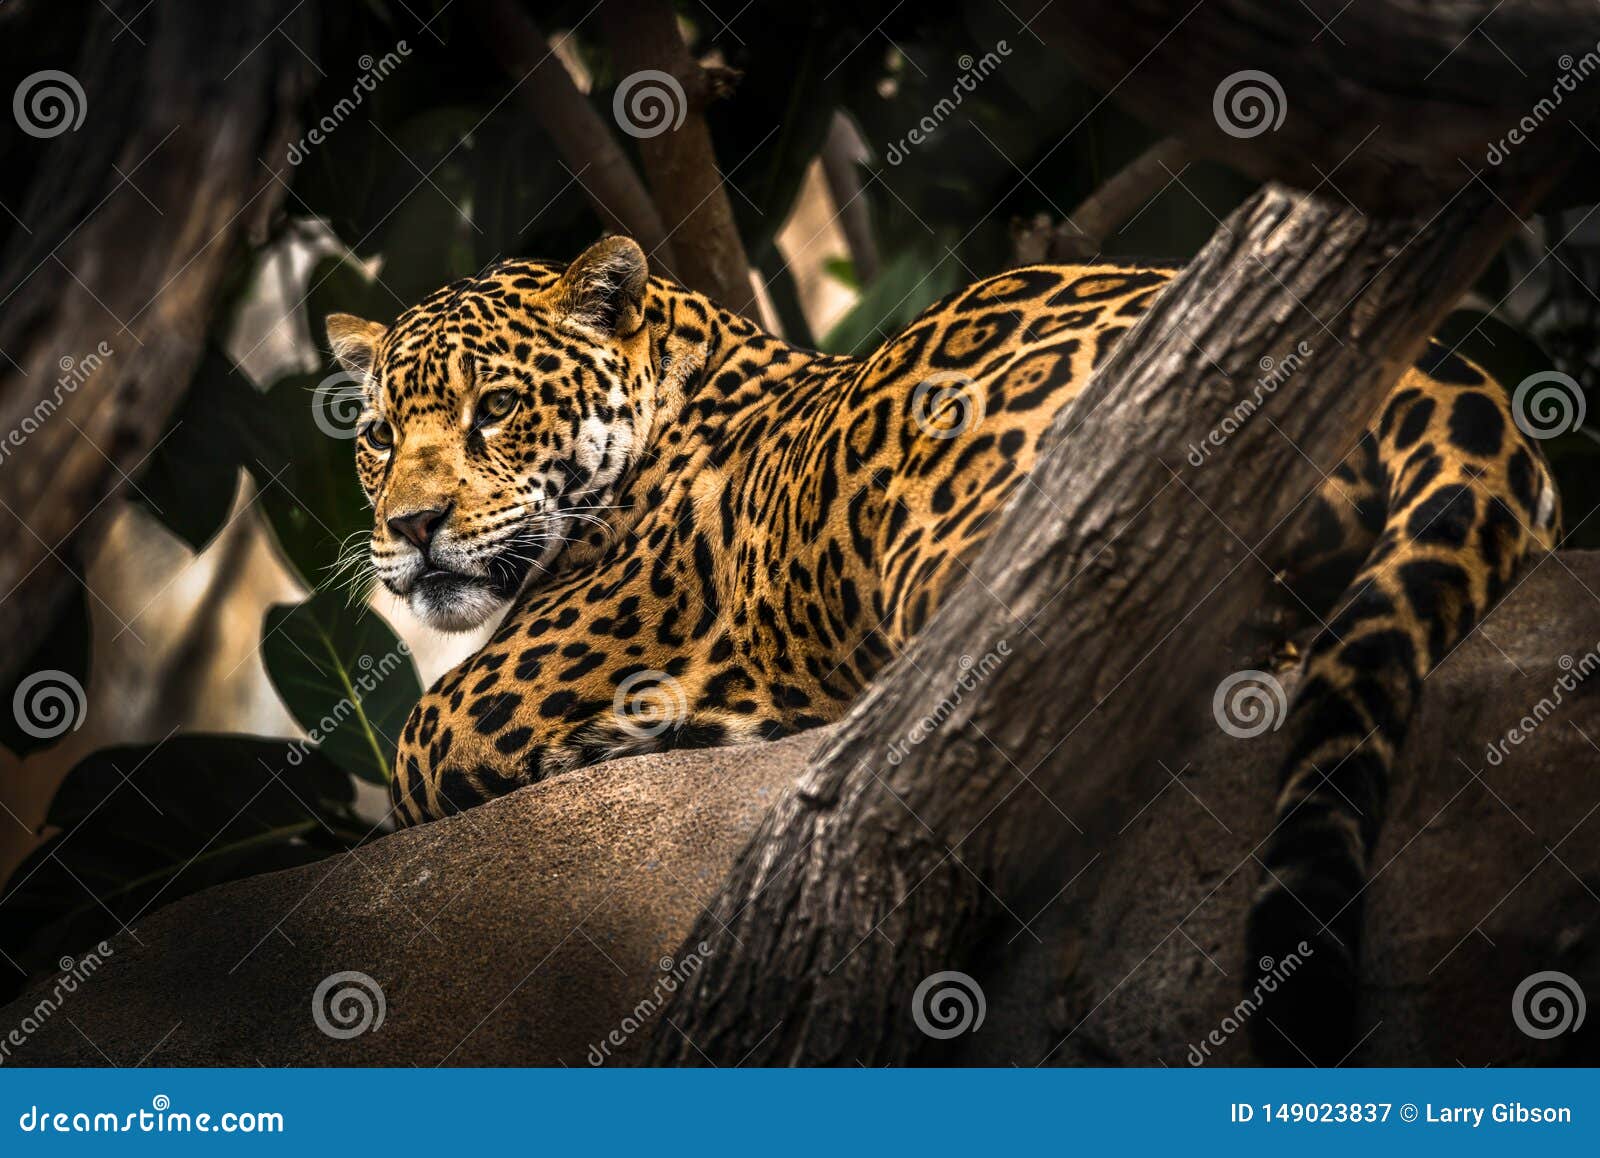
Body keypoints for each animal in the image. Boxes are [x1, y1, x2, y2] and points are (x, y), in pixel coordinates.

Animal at [325, 235, 1560, 1063]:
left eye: (494, 409)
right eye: (377, 435)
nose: (410, 528)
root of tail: (1420, 357)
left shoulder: (502, 693)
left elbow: (414, 744)